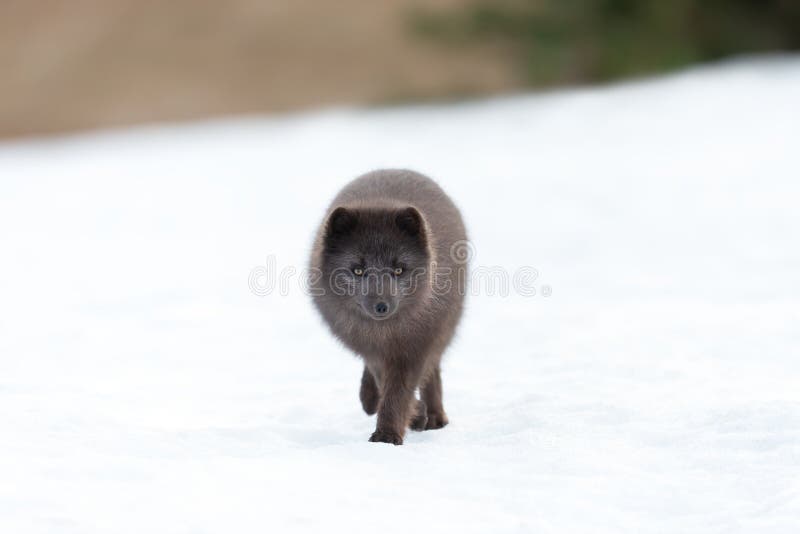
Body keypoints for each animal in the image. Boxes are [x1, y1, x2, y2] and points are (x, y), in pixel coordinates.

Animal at [310, 169, 468, 445]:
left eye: (399, 269)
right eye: (358, 270)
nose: (381, 306)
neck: (385, 333)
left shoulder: (414, 345)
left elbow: (398, 391)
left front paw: (387, 435)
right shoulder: (371, 346)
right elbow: (383, 379)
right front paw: (409, 416)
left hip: (442, 329)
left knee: (433, 371)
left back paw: (436, 418)